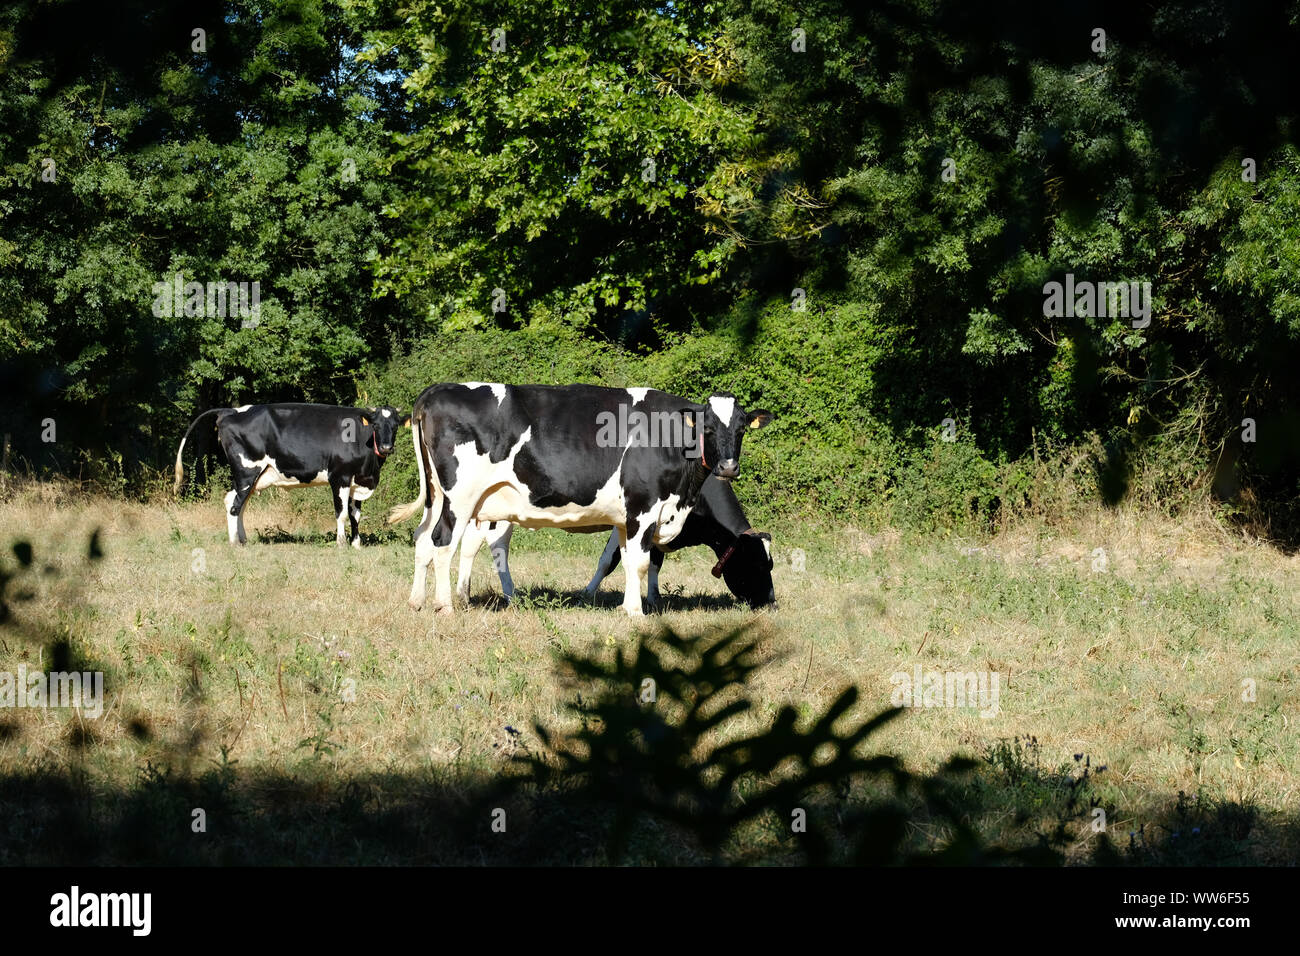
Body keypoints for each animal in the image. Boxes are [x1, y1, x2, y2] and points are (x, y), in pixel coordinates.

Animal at [173, 403, 409, 547]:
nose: (387, 447)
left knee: (237, 503)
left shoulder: (356, 482)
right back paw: (234, 543)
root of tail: (232, 410)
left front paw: (356, 544)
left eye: (395, 425)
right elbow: (341, 513)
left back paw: (243, 539)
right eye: (376, 425)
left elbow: (355, 515)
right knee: (234, 505)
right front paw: (342, 544)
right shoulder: (339, 477)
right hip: (246, 471)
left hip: (252, 476)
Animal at [455, 476, 777, 609]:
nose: (772, 603)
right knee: (491, 546)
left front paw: (653, 598)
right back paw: (504, 595)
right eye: (755, 565)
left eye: (770, 564)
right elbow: (608, 562)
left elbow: (653, 563)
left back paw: (470, 593)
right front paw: (587, 593)